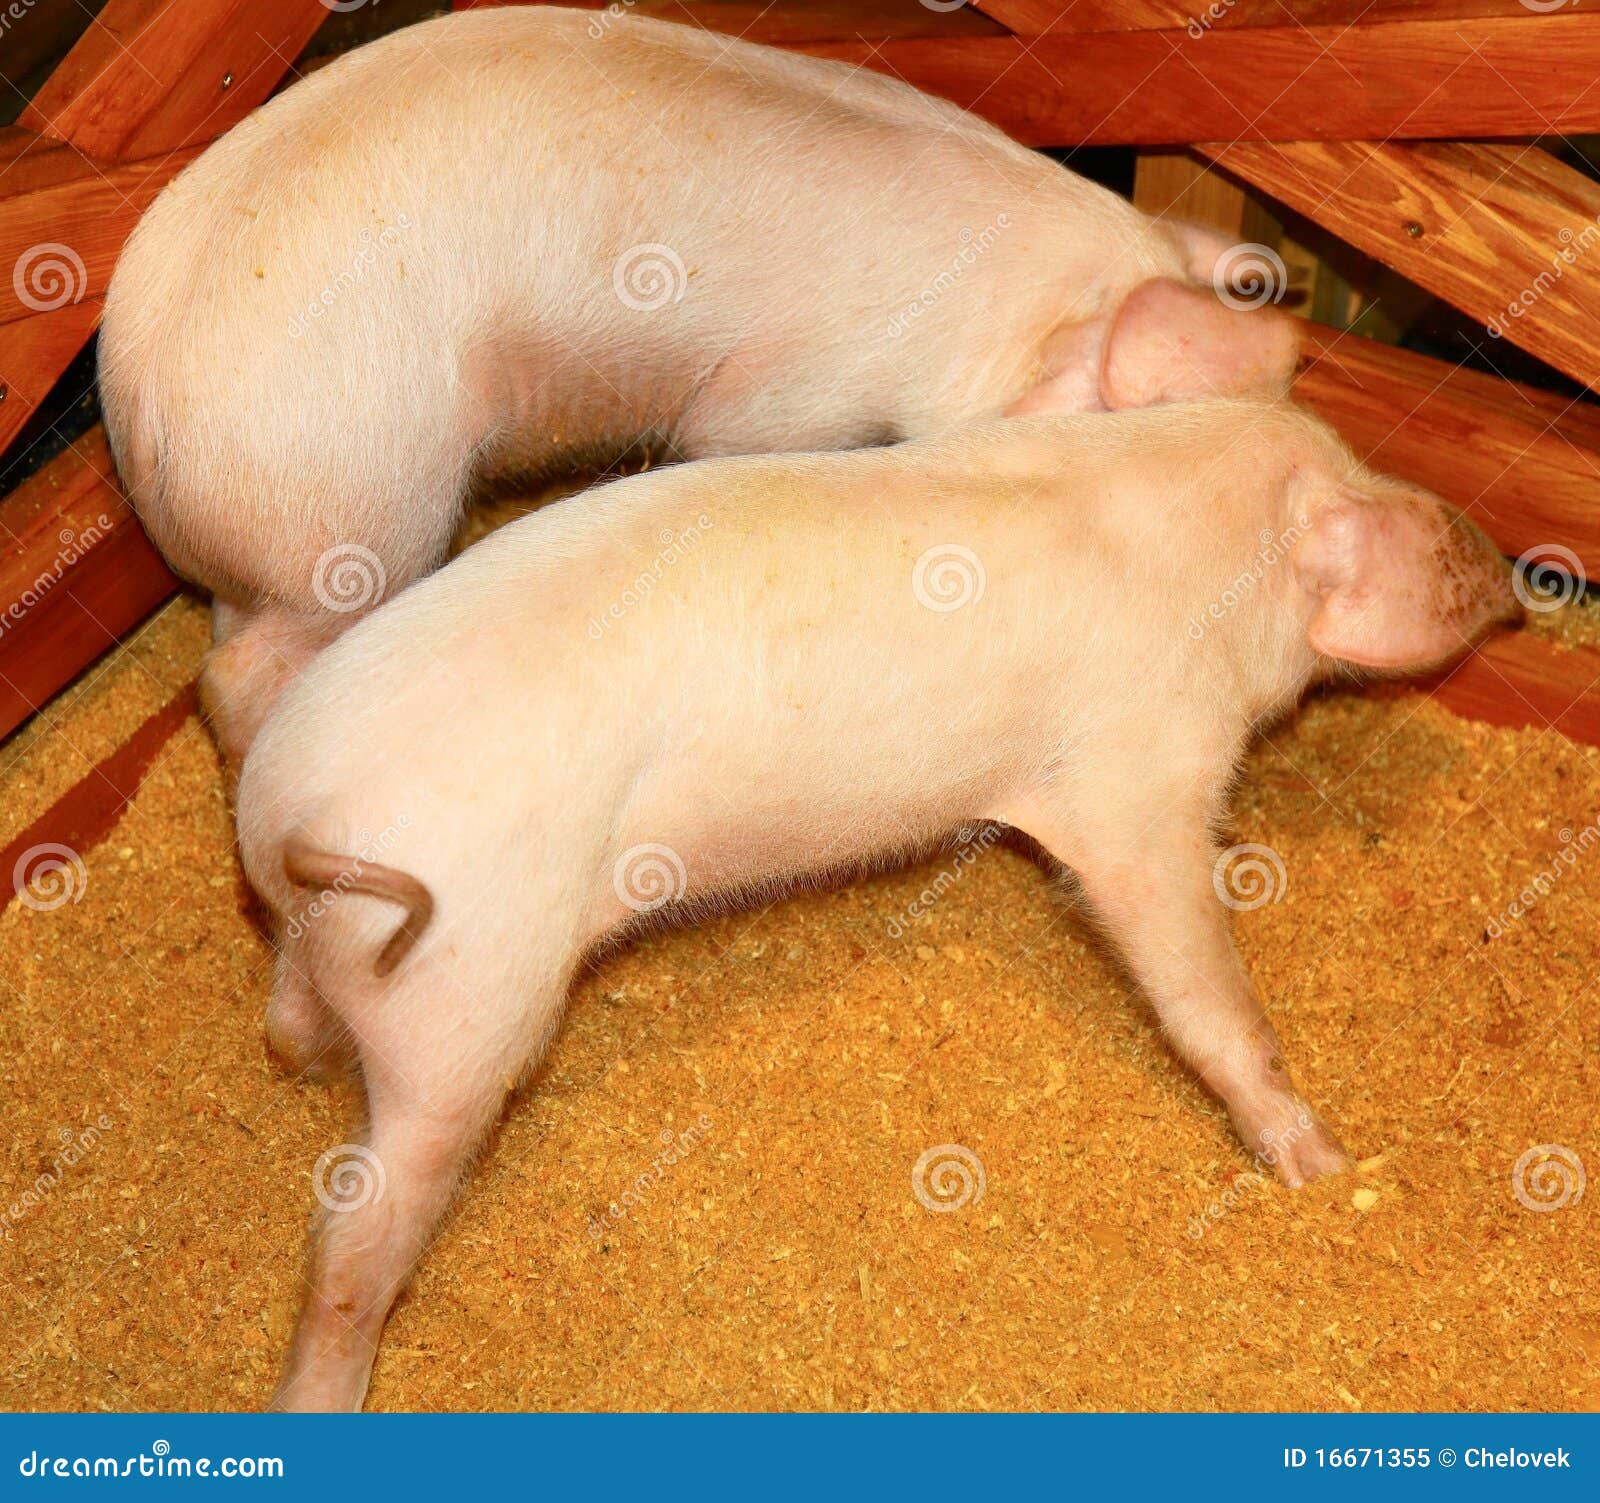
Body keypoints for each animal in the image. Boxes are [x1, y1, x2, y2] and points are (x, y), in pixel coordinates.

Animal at [237, 398, 1517, 1410]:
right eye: (1356, 493)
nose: (1506, 571)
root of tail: (297, 811)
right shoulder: (1134, 775)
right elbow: (1202, 988)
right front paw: (1324, 1166)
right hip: (462, 997)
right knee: (350, 1235)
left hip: (348, 959)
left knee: (290, 1025)